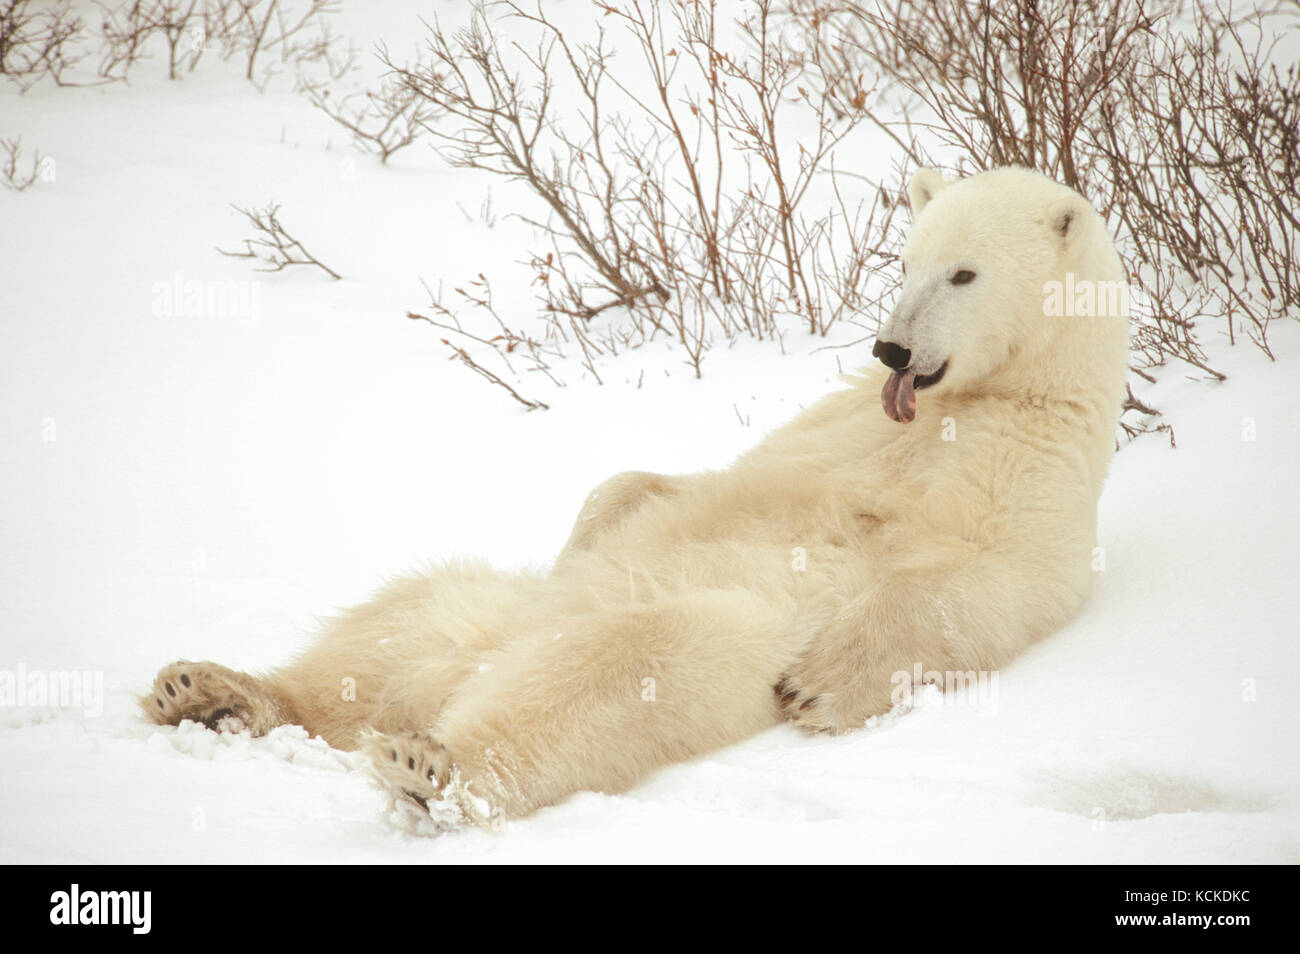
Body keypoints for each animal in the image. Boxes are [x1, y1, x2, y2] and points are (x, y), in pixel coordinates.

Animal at [144, 166, 1130, 829]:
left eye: (964, 273)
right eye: (908, 259)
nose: (891, 349)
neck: (1001, 395)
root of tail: (455, 680)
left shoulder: (1028, 472)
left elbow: (992, 588)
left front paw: (822, 683)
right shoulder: (836, 424)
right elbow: (662, 482)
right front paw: (593, 524)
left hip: (705, 632)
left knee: (608, 670)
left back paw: (435, 767)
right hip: (481, 611)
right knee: (393, 629)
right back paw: (216, 691)